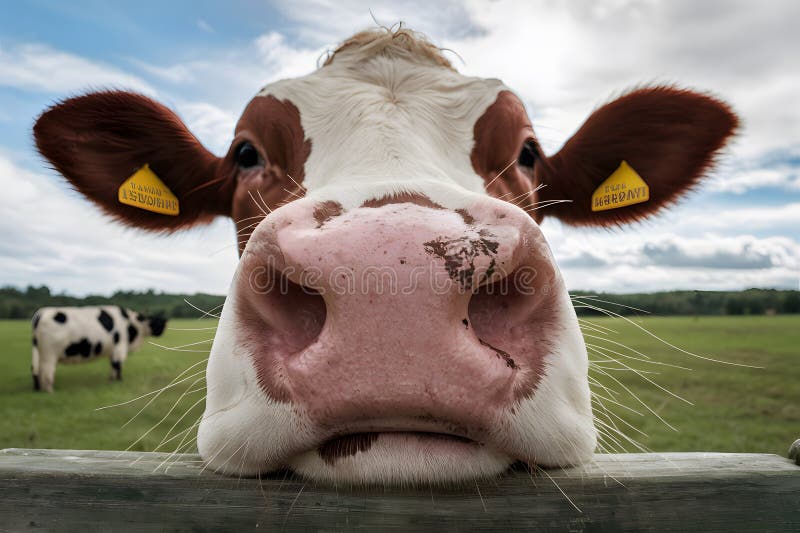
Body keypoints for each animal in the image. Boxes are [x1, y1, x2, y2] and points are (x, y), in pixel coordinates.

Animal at [31, 306, 167, 392]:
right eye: (155, 321)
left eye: (161, 321)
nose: (164, 327)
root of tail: (41, 314)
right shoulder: (120, 347)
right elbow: (117, 365)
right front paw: (118, 380)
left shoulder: (113, 350)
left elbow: (113, 365)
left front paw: (111, 379)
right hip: (49, 353)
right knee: (47, 372)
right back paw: (49, 390)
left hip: (38, 351)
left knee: (35, 369)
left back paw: (38, 388)